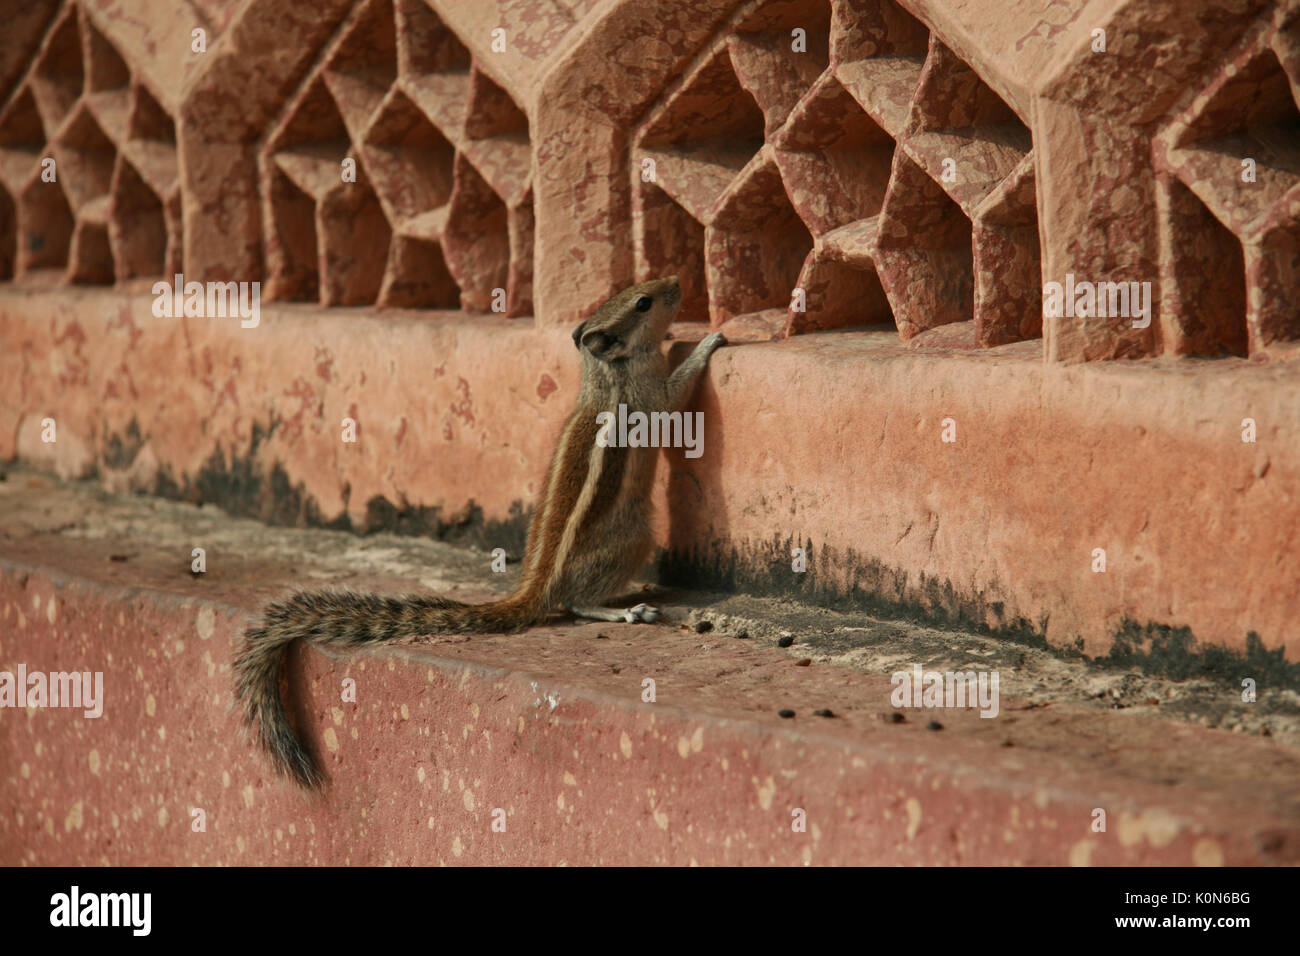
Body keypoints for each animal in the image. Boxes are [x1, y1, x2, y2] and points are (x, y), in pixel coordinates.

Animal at [234, 275, 727, 788]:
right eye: (644, 302)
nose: (676, 281)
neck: (607, 372)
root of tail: (535, 587)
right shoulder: (654, 396)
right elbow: (677, 394)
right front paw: (708, 343)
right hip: (637, 536)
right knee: (575, 601)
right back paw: (627, 611)